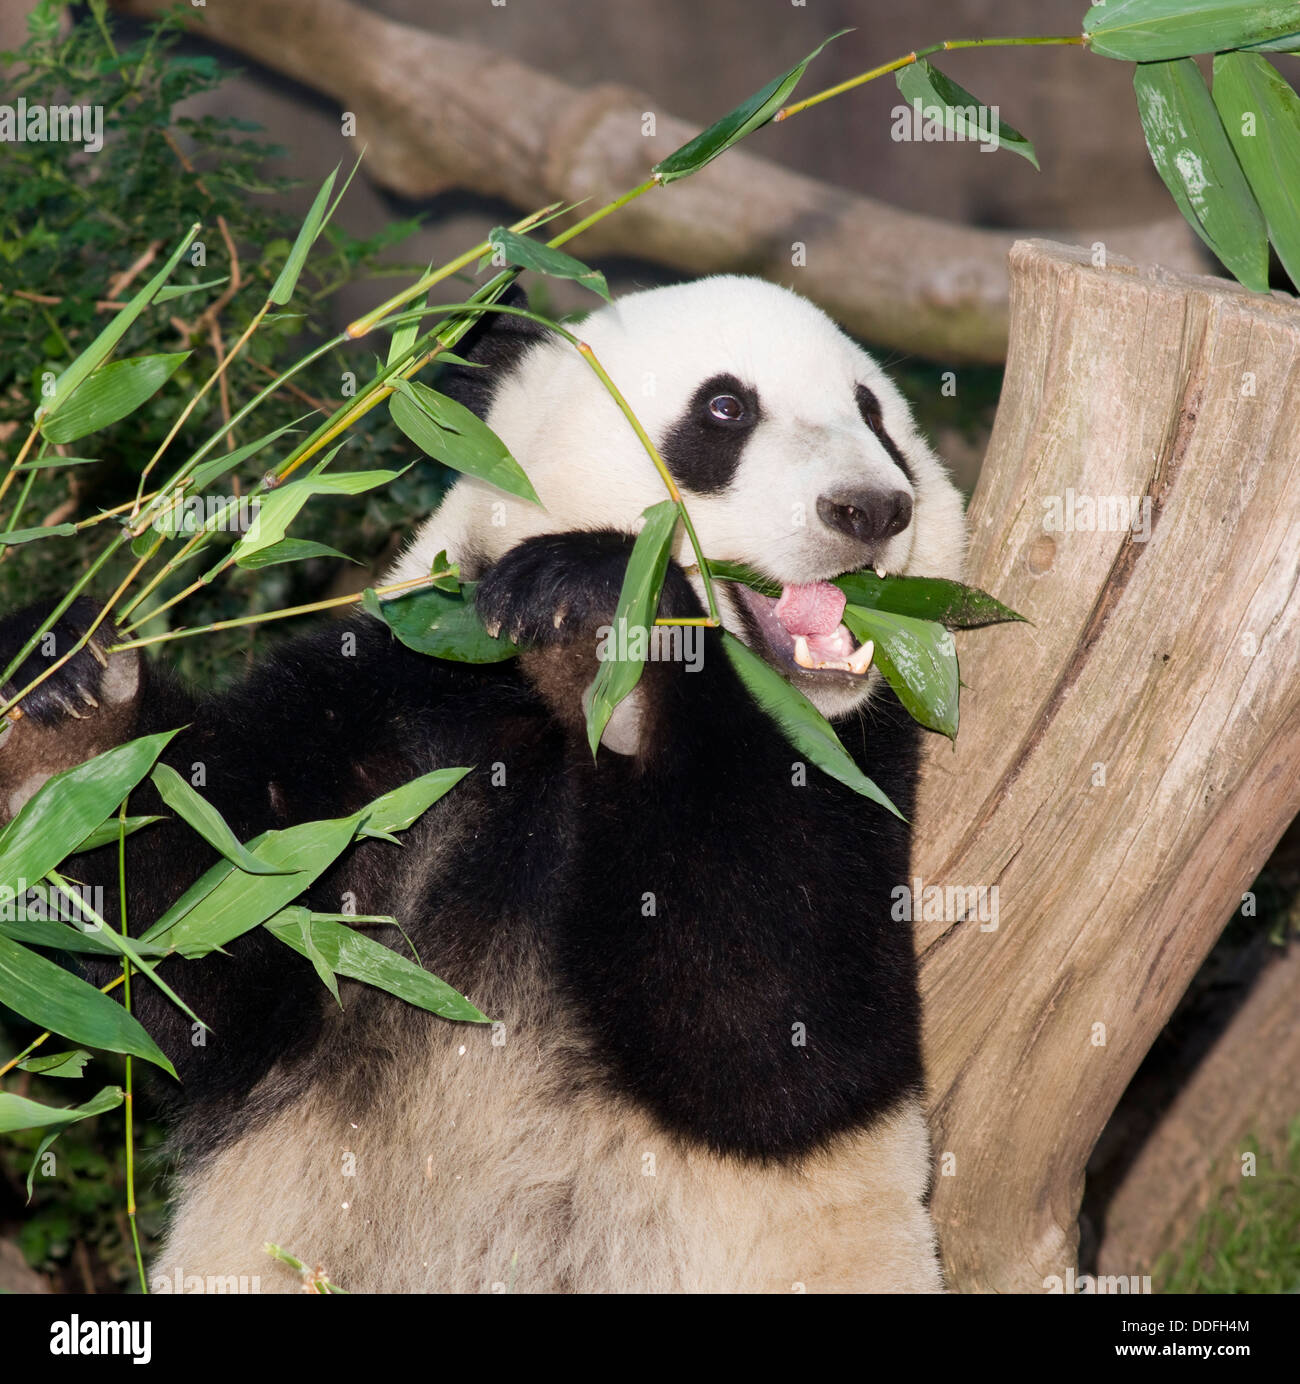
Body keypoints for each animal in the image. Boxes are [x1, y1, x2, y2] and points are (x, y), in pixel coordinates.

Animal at [0, 274, 967, 1293]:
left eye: (875, 416)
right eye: (725, 409)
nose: (871, 509)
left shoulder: (869, 764)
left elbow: (779, 1037)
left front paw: (605, 621)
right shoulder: (403, 716)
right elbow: (203, 936)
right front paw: (70, 715)